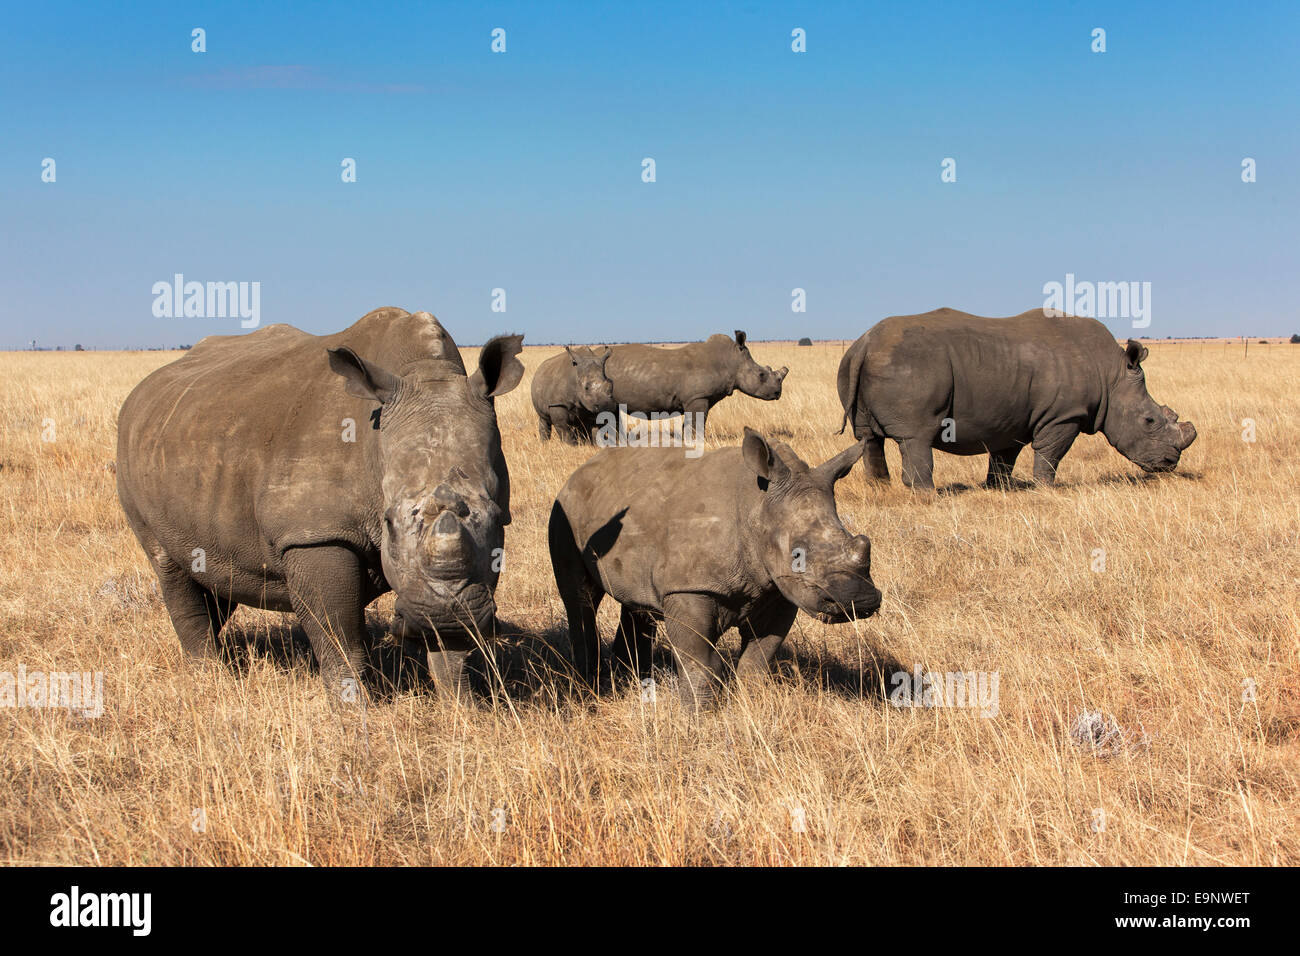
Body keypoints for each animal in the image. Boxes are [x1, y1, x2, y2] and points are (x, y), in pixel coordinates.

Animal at [115, 307, 524, 697]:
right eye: (388, 522)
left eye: (498, 519)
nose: (444, 615)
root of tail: (141, 391)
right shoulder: (314, 533)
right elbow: (339, 638)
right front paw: (353, 710)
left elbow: (452, 648)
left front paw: (462, 707)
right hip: (129, 456)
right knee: (169, 566)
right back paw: (211, 677)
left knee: (211, 573)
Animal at [548, 429, 881, 709]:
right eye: (797, 554)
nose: (861, 600)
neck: (757, 507)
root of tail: (582, 469)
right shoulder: (689, 587)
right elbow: (701, 663)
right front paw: (698, 718)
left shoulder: (779, 591)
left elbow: (758, 659)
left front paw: (751, 706)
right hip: (566, 512)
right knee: (580, 598)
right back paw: (590, 683)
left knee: (637, 604)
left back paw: (631, 680)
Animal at [836, 308, 1197, 490]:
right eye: (1149, 421)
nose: (1169, 463)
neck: (1111, 374)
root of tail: (865, 343)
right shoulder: (1065, 415)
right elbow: (1051, 454)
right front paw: (1047, 489)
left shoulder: (1010, 416)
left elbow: (1004, 457)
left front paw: (999, 489)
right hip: (910, 365)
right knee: (916, 437)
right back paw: (925, 494)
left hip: (851, 362)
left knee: (868, 438)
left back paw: (880, 489)